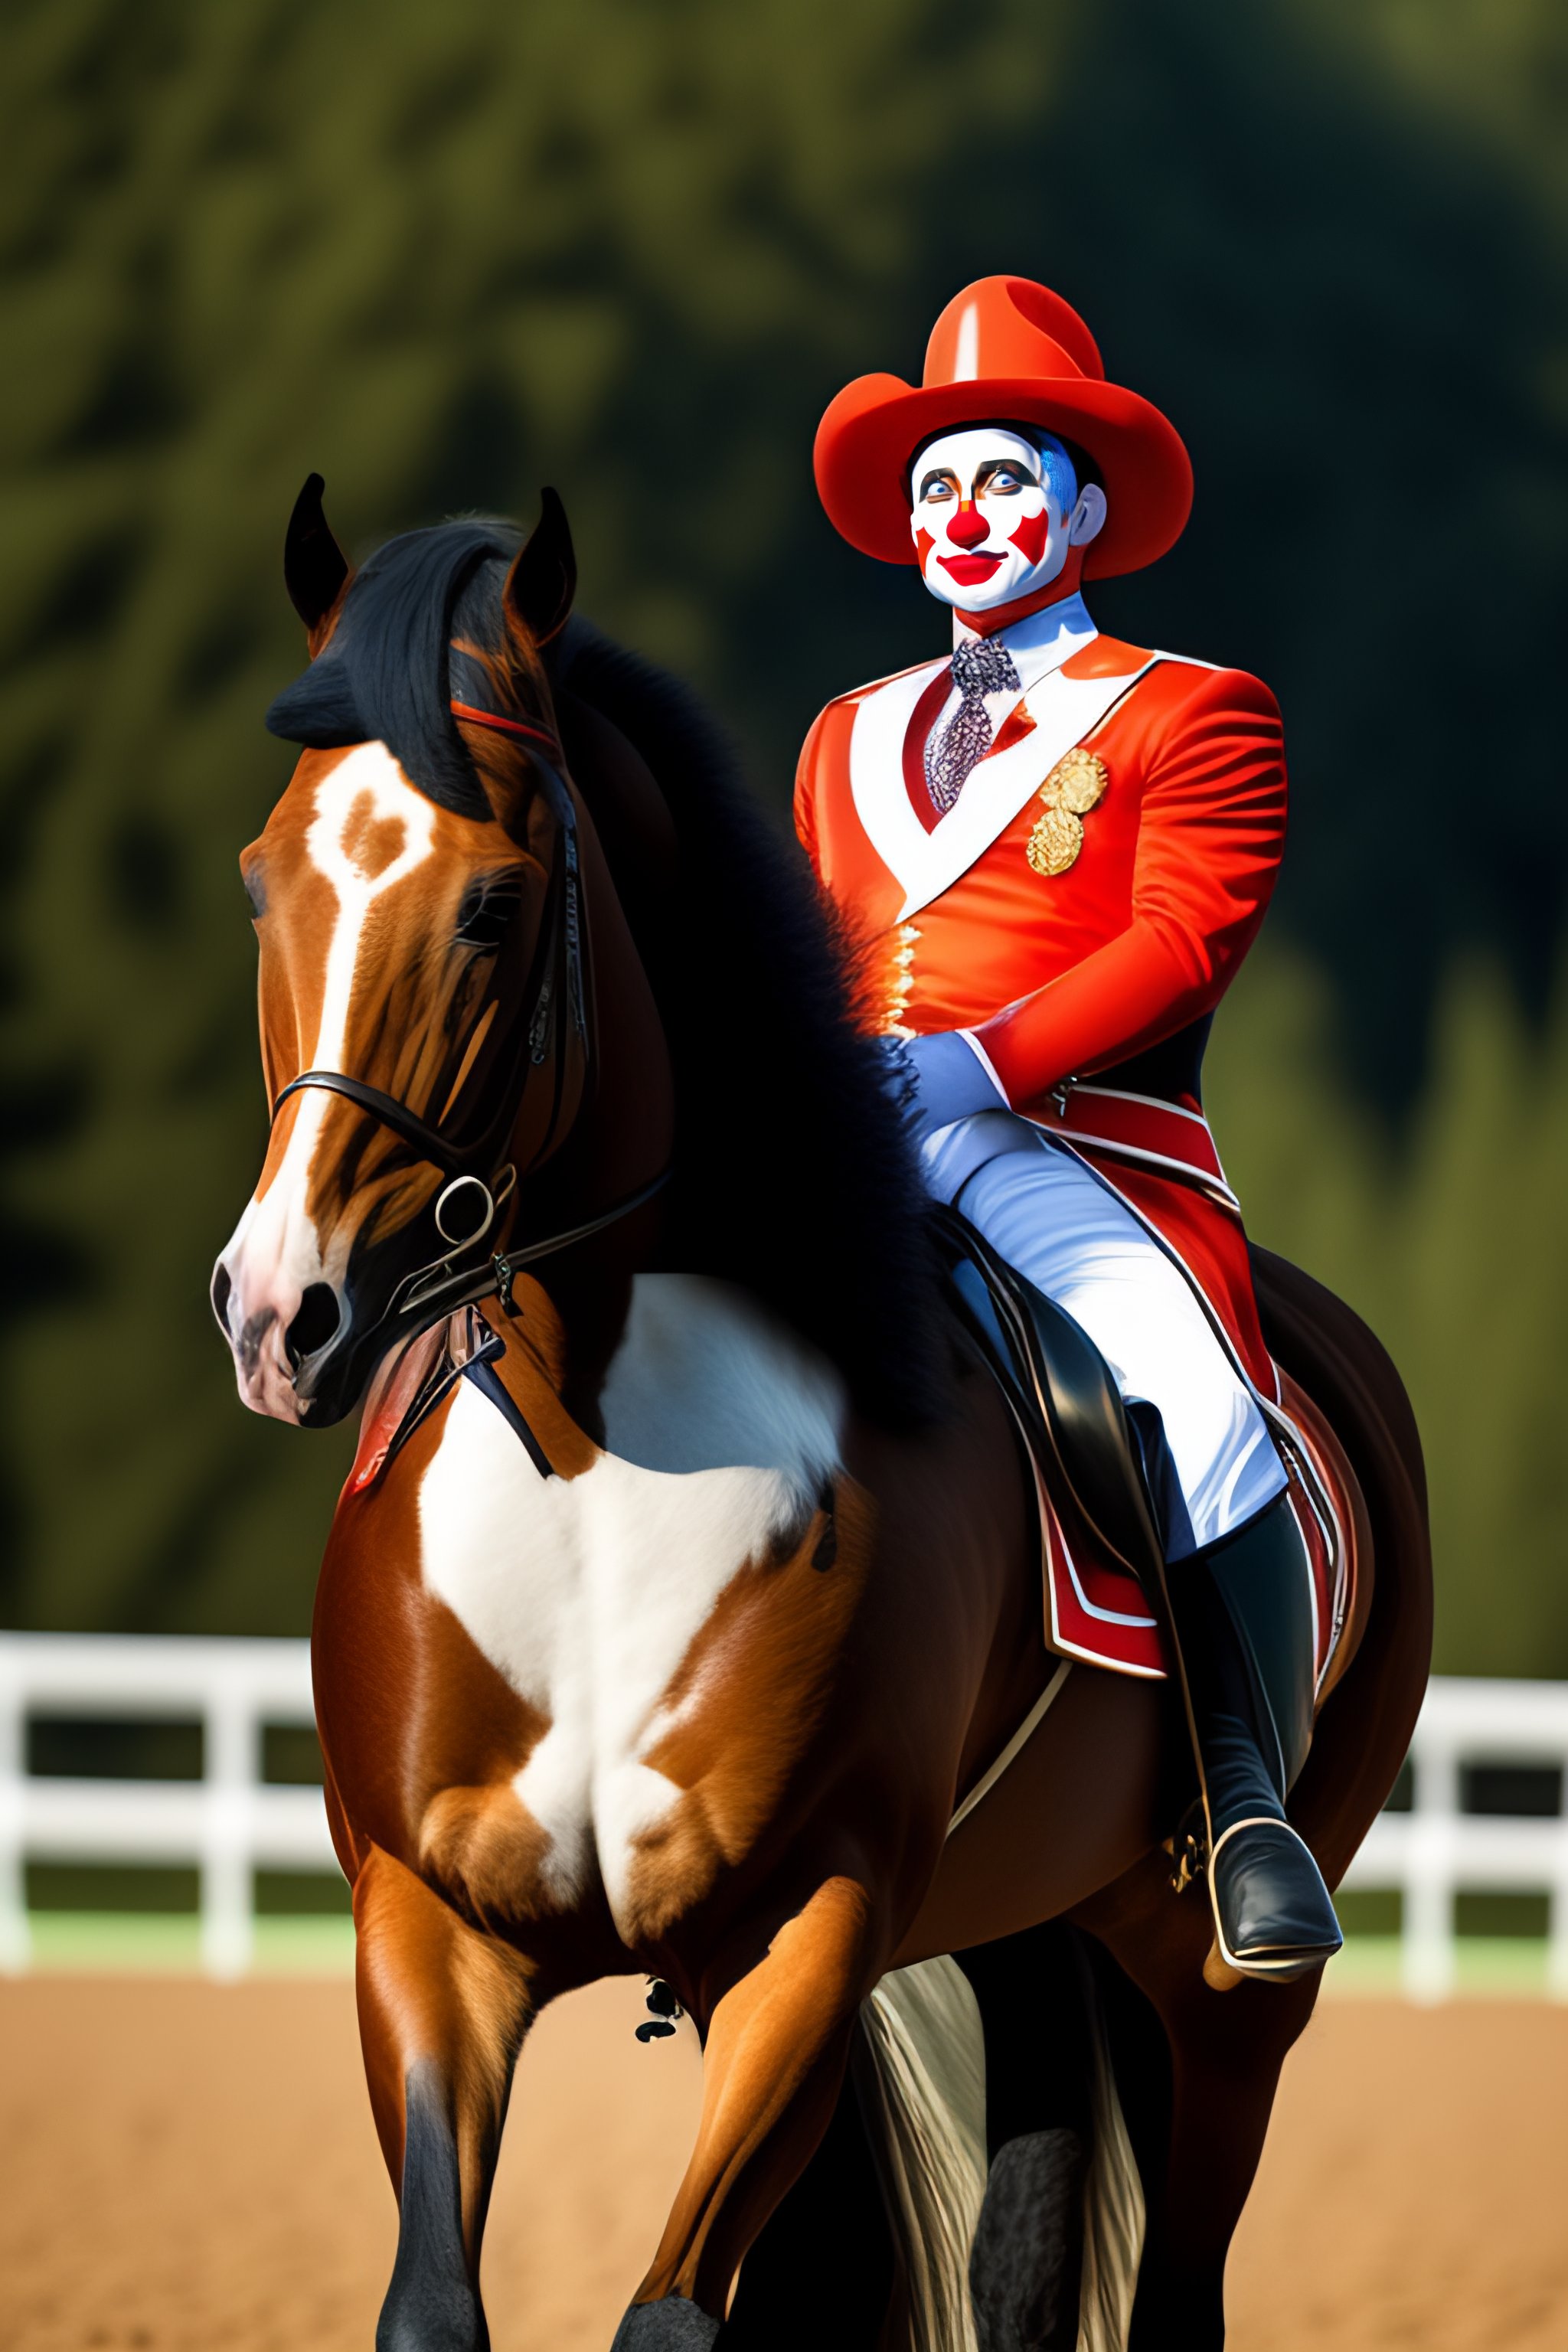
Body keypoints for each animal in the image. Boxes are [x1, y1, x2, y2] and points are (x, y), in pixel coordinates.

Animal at [212, 481, 1431, 2352]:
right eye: (264, 882)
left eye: (492, 905)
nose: (281, 1314)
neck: (594, 1437)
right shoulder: (427, 1925)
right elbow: (431, 2307)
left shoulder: (805, 1933)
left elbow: (669, 2317)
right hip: (1022, 1926)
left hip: (1220, 1996)